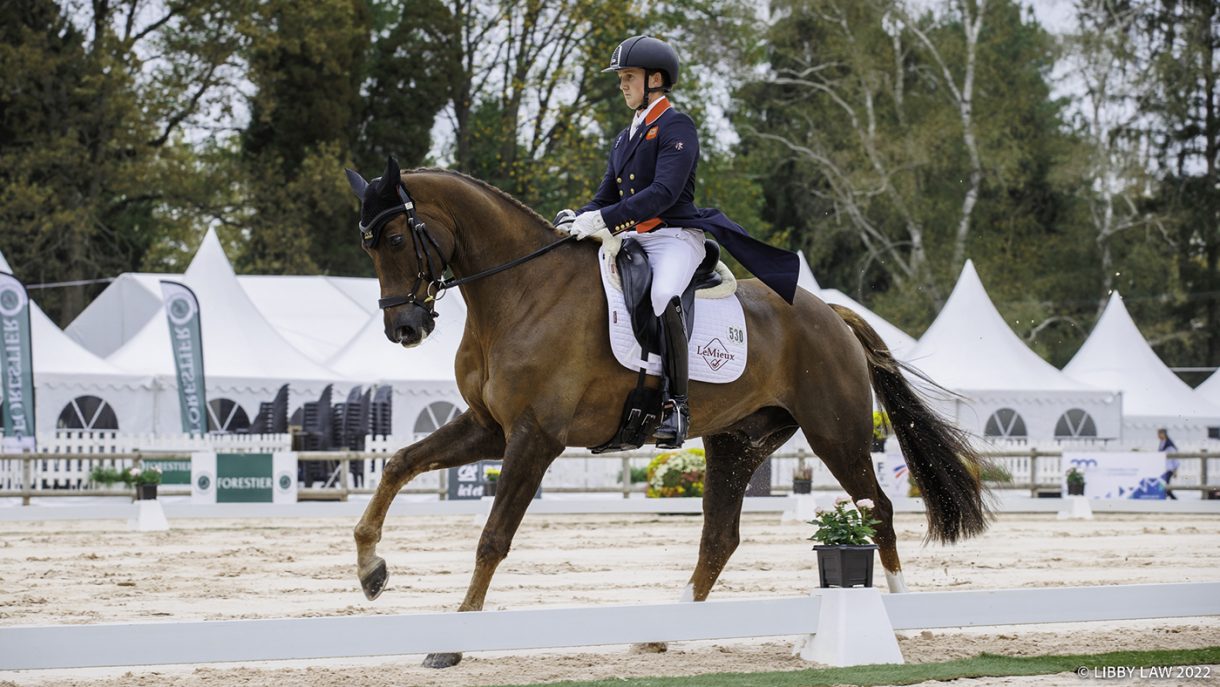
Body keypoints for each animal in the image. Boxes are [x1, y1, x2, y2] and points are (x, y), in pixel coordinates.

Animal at [344, 159, 991, 668]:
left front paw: (453, 640)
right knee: (720, 536)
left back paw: (903, 618)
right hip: (738, 442)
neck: (521, 292)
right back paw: (664, 635)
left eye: (397, 240)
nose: (405, 329)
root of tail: (830, 312)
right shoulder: (489, 428)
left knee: (877, 510)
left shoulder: (535, 437)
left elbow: (492, 538)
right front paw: (372, 569)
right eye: (367, 246)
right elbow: (398, 464)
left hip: (836, 433)